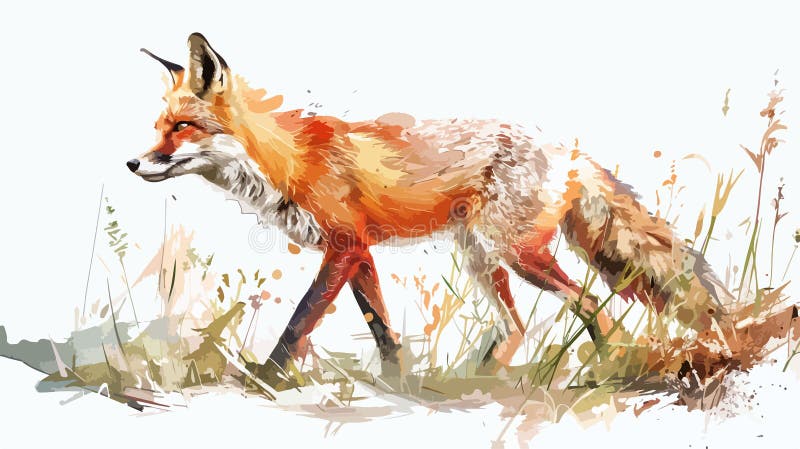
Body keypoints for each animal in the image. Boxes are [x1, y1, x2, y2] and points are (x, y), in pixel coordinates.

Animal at [128, 33, 732, 383]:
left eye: (182, 127)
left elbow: (299, 322)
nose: (133, 164)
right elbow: (381, 329)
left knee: (592, 307)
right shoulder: (359, 252)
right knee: (519, 327)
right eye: (158, 127)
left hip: (516, 254)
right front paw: (398, 383)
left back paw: (602, 370)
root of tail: (567, 151)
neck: (290, 160)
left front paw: (265, 379)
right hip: (483, 257)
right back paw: (476, 381)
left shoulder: (343, 247)